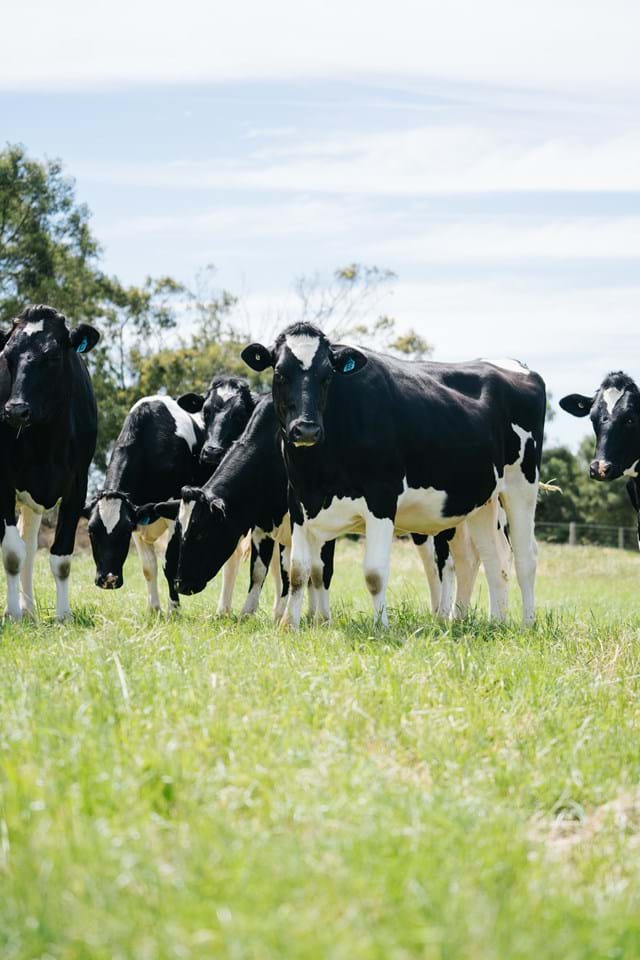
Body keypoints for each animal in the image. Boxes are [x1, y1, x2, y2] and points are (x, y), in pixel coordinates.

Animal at [0, 305, 100, 620]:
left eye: (53, 356)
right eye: (7, 355)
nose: (15, 410)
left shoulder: (78, 483)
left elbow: (61, 558)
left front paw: (63, 615)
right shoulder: (3, 481)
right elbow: (12, 554)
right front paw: (12, 614)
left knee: (30, 543)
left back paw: (29, 608)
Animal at [84, 376, 258, 614]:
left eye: (123, 532)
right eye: (91, 532)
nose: (108, 580)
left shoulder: (173, 514)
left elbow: (169, 563)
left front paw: (173, 609)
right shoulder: (138, 514)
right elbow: (148, 567)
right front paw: (154, 609)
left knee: (233, 557)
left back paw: (223, 609)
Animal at [241, 322, 545, 629]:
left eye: (326, 376)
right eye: (280, 373)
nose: (306, 429)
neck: (318, 473)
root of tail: (514, 365)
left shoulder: (382, 498)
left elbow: (374, 573)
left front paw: (380, 626)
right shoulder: (299, 501)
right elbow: (298, 570)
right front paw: (288, 625)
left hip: (521, 485)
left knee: (525, 558)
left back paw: (527, 624)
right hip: (484, 498)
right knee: (493, 560)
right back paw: (496, 622)